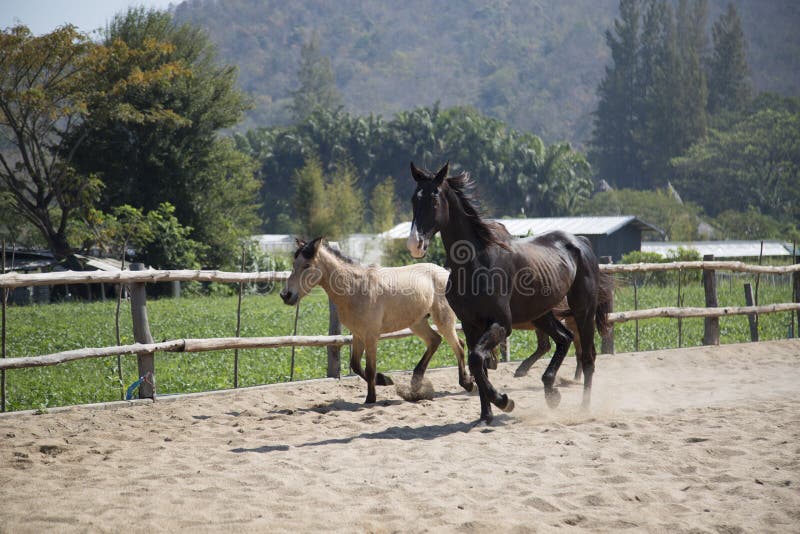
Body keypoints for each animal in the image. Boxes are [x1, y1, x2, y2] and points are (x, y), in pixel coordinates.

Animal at [280, 237, 472, 404]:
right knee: (435, 341)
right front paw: (384, 380)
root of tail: (445, 272)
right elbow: (356, 365)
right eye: (293, 265)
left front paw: (371, 398)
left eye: (307, 265)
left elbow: (370, 368)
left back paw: (467, 383)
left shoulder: (371, 336)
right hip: (417, 322)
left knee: (459, 346)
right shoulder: (358, 335)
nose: (286, 295)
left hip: (443, 320)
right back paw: (416, 382)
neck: (355, 288)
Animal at [406, 162, 613, 423]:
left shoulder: (502, 324)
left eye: (434, 199)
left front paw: (504, 401)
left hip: (582, 311)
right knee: (564, 339)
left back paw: (584, 408)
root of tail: (581, 242)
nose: (415, 244)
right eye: (414, 198)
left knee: (587, 357)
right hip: (541, 313)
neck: (475, 263)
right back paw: (551, 392)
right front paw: (486, 415)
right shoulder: (471, 325)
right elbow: (478, 365)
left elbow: (476, 359)